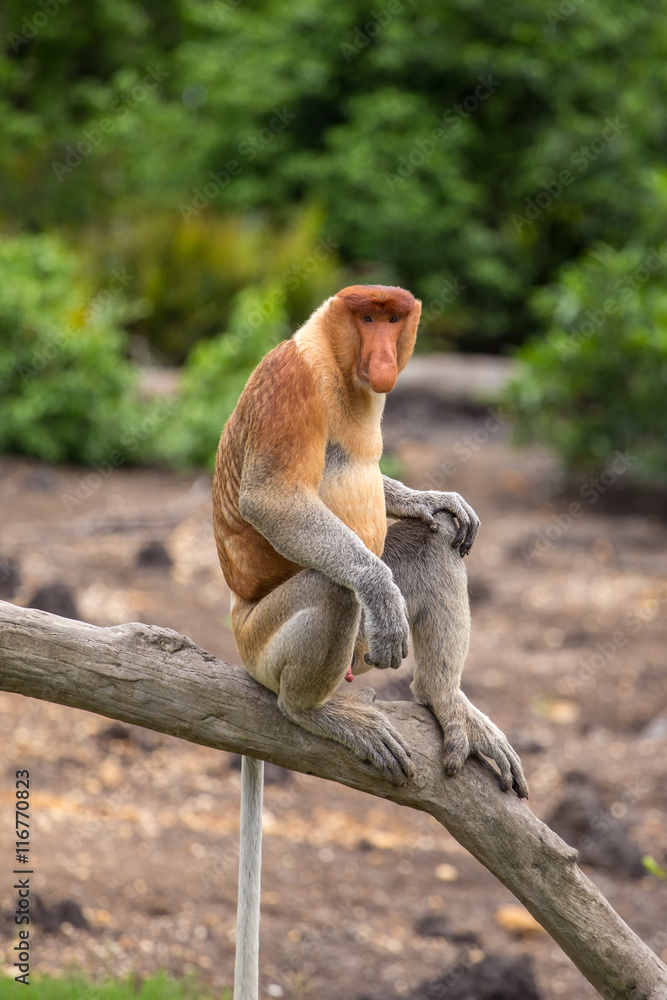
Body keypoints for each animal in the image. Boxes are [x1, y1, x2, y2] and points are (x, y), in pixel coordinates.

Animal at [213, 283, 528, 799]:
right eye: (366, 319)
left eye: (393, 319)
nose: (382, 358)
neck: (333, 359)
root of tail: (238, 614)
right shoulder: (292, 381)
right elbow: (271, 498)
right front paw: (377, 588)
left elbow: (427, 520)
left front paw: (432, 501)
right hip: (259, 644)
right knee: (335, 589)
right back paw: (312, 709)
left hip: (360, 647)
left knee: (434, 542)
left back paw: (443, 699)